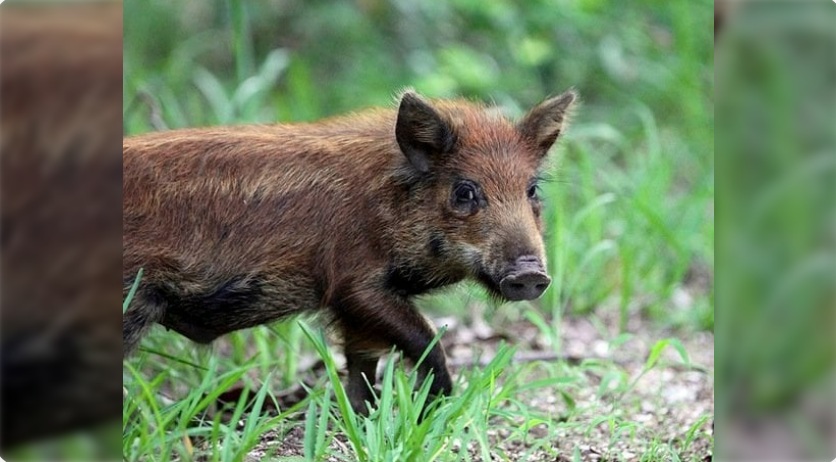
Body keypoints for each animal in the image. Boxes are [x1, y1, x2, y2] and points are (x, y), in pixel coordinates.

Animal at [122, 89, 577, 414]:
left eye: (531, 190)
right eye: (464, 192)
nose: (531, 274)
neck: (386, 202)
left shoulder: (355, 308)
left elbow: (362, 362)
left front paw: (367, 415)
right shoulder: (354, 284)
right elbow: (426, 340)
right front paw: (437, 406)